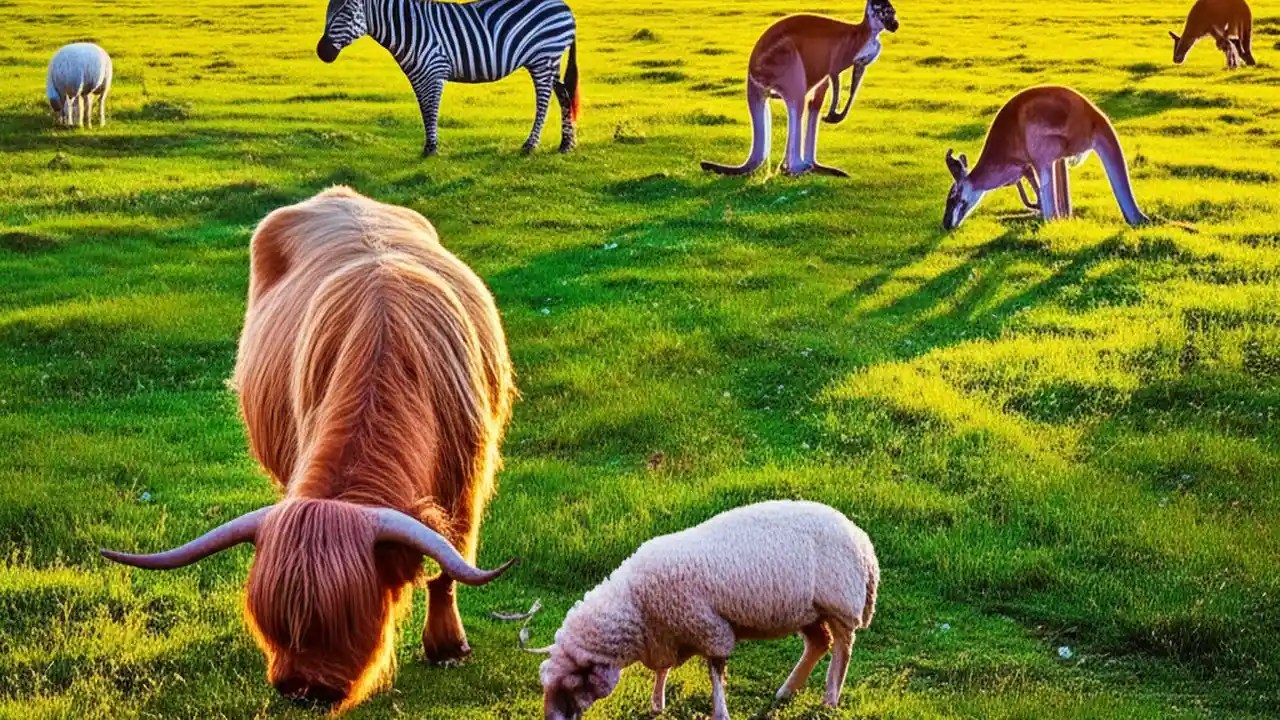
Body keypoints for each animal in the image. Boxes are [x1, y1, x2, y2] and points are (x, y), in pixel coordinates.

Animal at [318, 0, 580, 156]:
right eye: (328, 12)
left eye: (345, 12)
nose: (322, 52)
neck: (409, 28)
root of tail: (565, 6)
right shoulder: (417, 74)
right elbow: (425, 110)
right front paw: (428, 146)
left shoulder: (434, 69)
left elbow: (431, 109)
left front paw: (431, 149)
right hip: (551, 61)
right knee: (564, 95)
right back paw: (566, 145)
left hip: (544, 57)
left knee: (543, 102)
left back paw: (530, 145)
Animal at [532, 500, 879, 720]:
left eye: (573, 682)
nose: (551, 719)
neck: (636, 604)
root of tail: (863, 542)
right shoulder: (668, 633)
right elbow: (662, 670)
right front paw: (657, 703)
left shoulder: (710, 627)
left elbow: (715, 672)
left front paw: (719, 712)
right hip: (807, 611)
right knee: (819, 643)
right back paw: (785, 691)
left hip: (840, 605)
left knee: (842, 649)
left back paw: (830, 698)